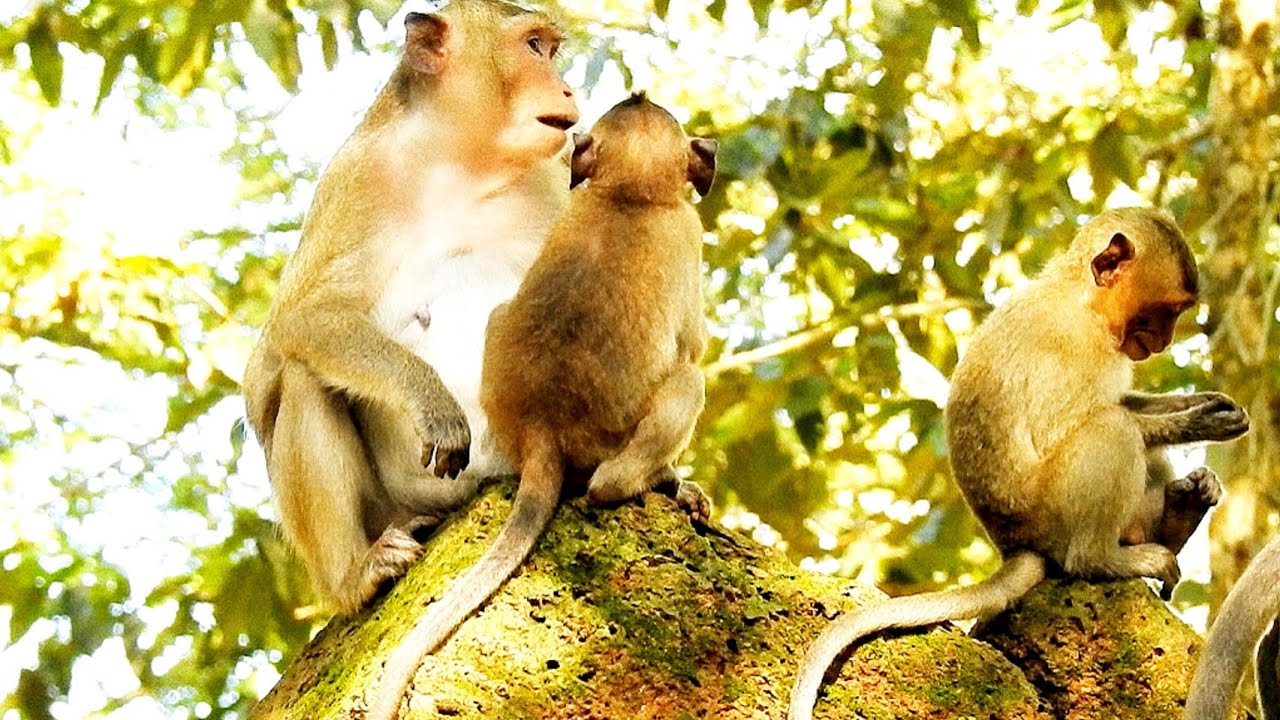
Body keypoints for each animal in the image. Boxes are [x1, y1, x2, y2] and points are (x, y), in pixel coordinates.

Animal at [240, 0, 579, 616]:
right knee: (303, 376)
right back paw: (355, 578)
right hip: (402, 500)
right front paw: (430, 399)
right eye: (533, 46)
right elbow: (299, 324)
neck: (460, 163)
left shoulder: (552, 177)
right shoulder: (356, 179)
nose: (567, 88)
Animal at [364, 93, 718, 720]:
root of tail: (541, 429)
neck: (627, 196)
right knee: (680, 392)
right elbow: (692, 346)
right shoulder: (687, 234)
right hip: (612, 442)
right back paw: (647, 482)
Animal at [789, 208, 1251, 720]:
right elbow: (1086, 421)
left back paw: (1176, 518)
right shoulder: (1073, 345)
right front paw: (1196, 422)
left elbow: (1128, 401)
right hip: (1050, 511)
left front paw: (1200, 403)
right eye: (1166, 310)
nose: (1164, 341)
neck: (1081, 299)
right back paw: (1104, 559)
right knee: (1112, 430)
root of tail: (1013, 543)